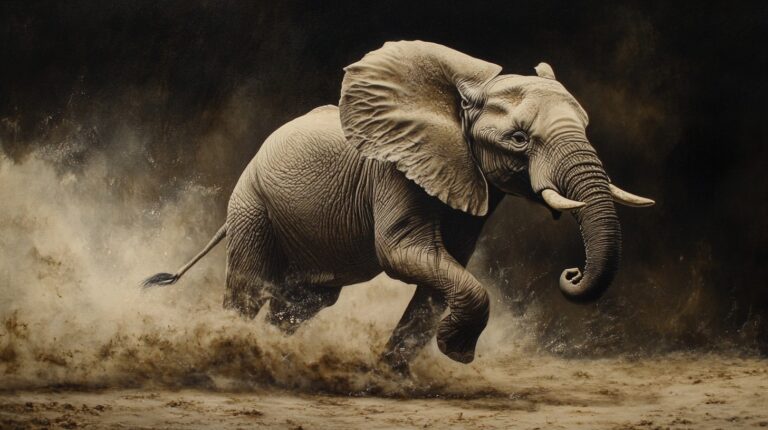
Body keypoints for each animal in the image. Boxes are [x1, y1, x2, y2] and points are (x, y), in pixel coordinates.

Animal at [143, 41, 654, 373]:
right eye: (519, 139)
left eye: (586, 126)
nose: (571, 273)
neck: (462, 95)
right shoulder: (395, 169)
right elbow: (406, 255)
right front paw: (457, 353)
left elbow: (445, 268)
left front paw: (394, 377)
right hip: (252, 206)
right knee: (249, 289)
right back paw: (233, 352)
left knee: (306, 300)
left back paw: (277, 354)